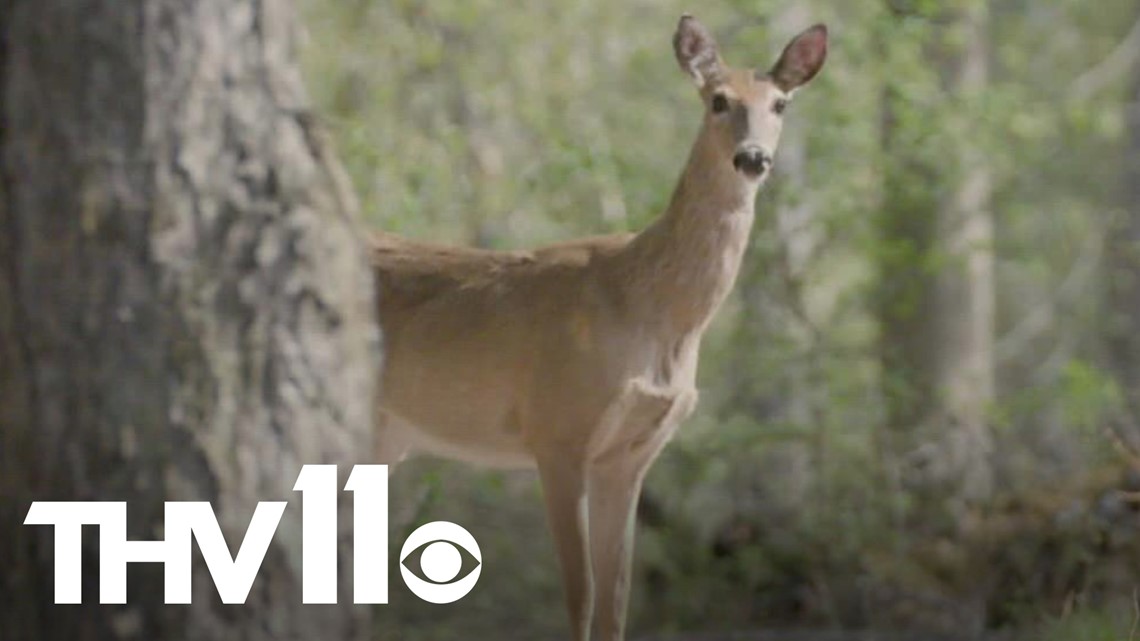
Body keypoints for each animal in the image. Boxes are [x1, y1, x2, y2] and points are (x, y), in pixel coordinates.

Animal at [369, 14, 827, 641]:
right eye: (718, 100)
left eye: (780, 103)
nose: (753, 157)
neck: (651, 313)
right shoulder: (557, 427)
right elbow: (581, 593)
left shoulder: (630, 454)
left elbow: (617, 596)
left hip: (385, 438)